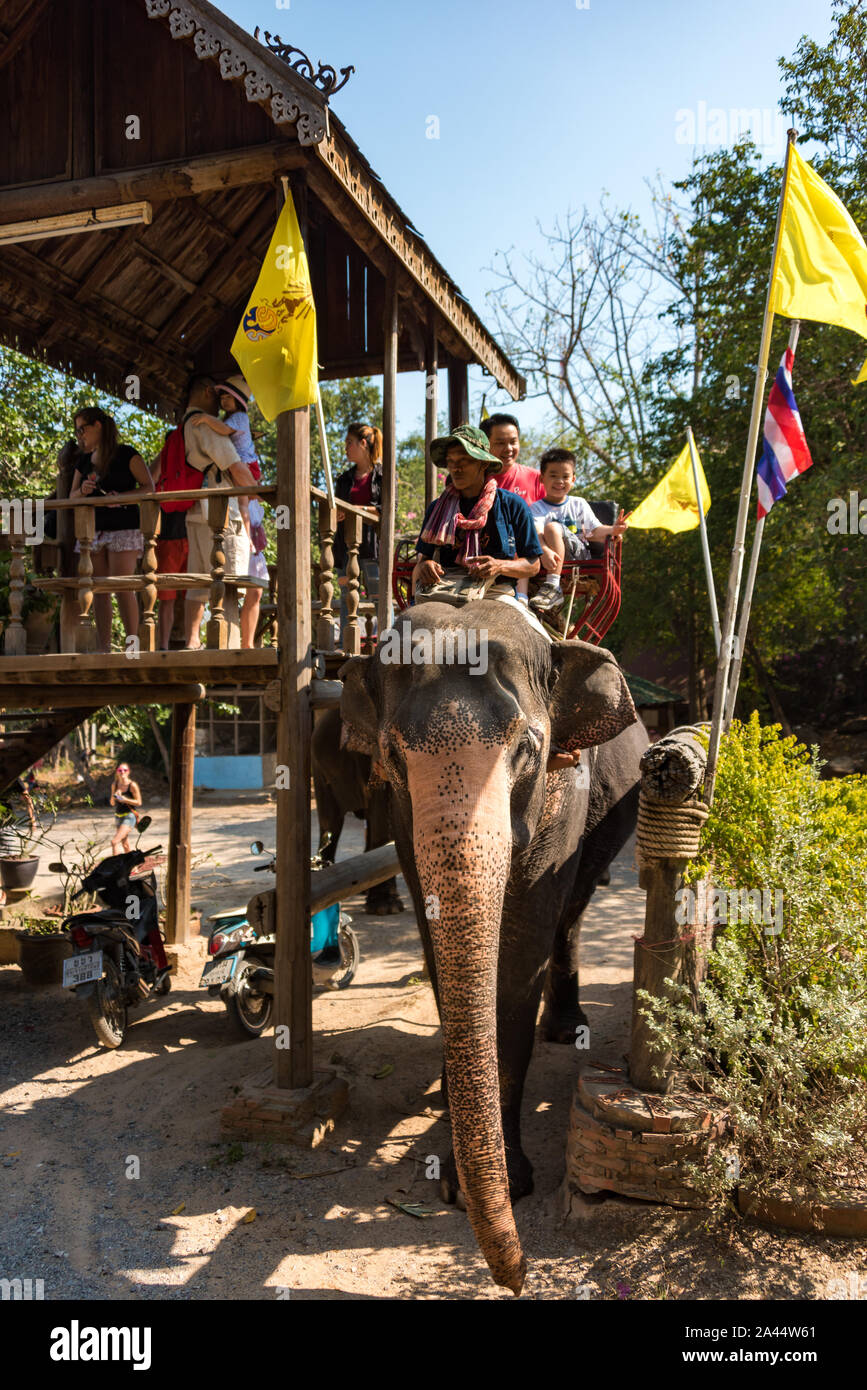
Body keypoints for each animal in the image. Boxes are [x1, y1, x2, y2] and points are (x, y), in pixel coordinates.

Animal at [340, 600, 646, 1295]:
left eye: (528, 748)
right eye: (391, 753)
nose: (519, 1278)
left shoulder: (565, 793)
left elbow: (524, 947)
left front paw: (505, 1178)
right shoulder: (403, 821)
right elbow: (436, 949)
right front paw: (457, 1163)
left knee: (571, 913)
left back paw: (565, 1028)